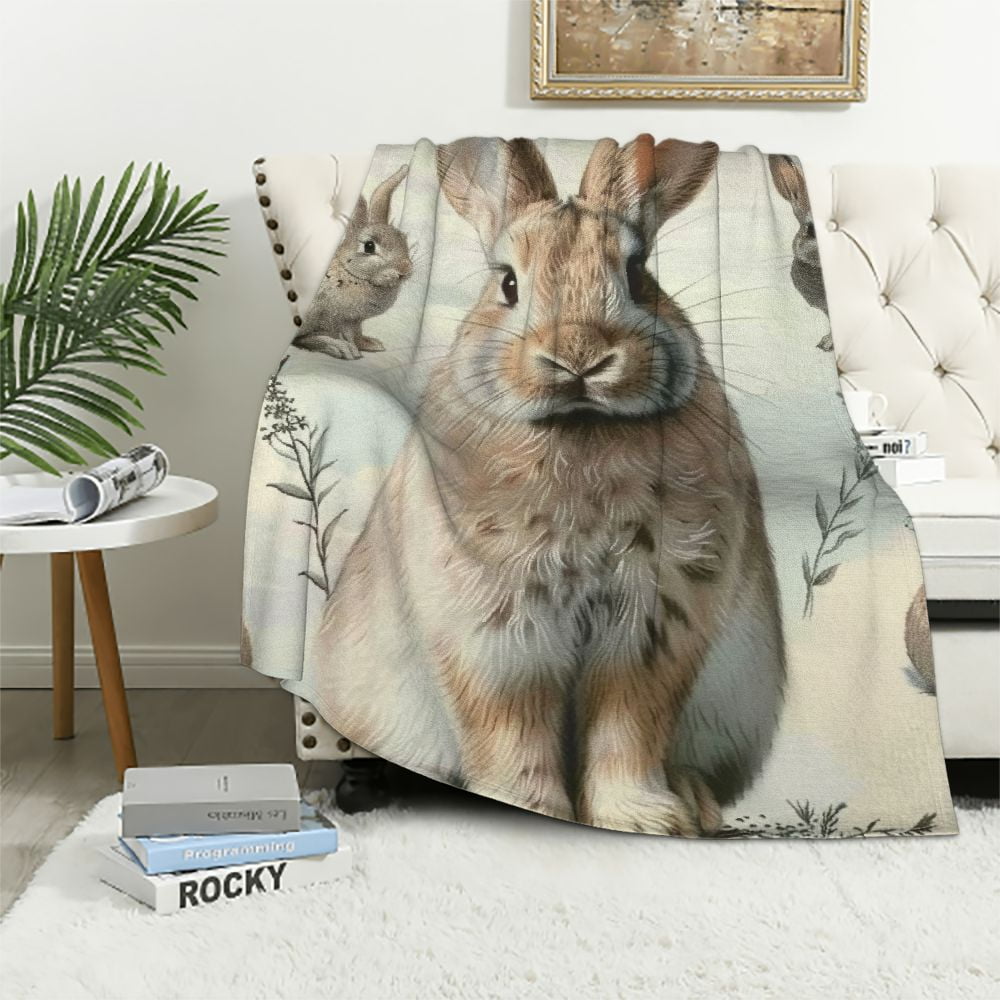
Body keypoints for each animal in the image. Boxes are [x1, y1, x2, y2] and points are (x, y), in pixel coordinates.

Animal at [294, 165, 411, 360]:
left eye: (403, 238)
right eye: (369, 246)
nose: (405, 270)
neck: (352, 274)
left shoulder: (353, 321)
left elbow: (356, 334)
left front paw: (370, 344)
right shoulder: (339, 318)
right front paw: (352, 349)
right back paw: (339, 348)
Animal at [311, 136, 786, 837]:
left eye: (638, 276)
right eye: (508, 283)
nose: (579, 357)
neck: (580, 428)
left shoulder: (651, 626)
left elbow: (628, 727)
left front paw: (642, 819)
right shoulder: (498, 633)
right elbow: (515, 733)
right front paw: (527, 807)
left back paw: (694, 800)